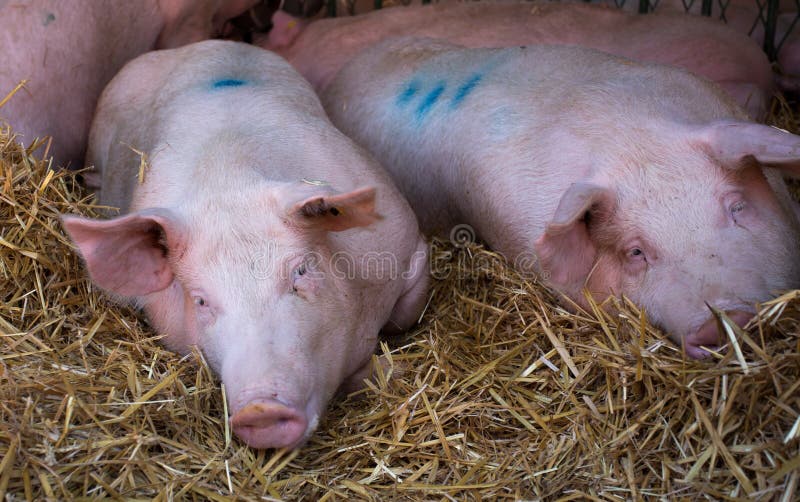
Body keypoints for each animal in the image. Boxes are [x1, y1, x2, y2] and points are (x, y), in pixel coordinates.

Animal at [61, 40, 430, 449]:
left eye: (301, 271)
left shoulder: (408, 244)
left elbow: (406, 311)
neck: (231, 180)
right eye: (200, 300)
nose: (261, 409)